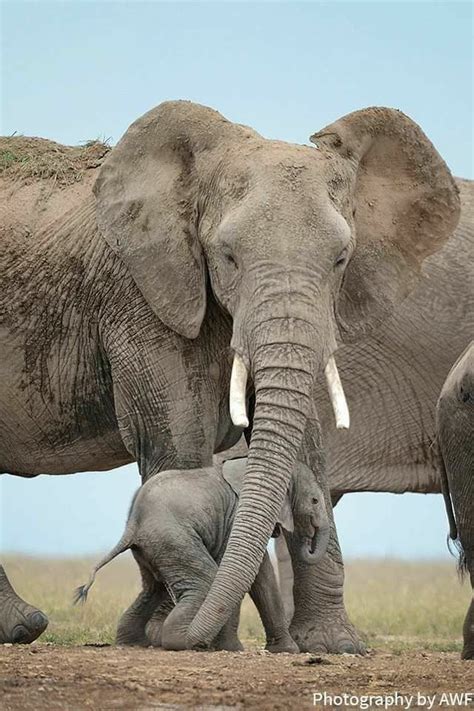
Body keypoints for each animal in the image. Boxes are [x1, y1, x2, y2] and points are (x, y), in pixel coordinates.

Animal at [75, 458, 328, 652]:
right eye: (315, 501)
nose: (308, 541)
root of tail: (133, 524)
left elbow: (261, 575)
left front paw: (286, 650)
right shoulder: (233, 518)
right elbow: (246, 571)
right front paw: (232, 649)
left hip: (153, 548)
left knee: (152, 588)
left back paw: (134, 643)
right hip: (174, 539)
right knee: (206, 579)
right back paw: (182, 640)